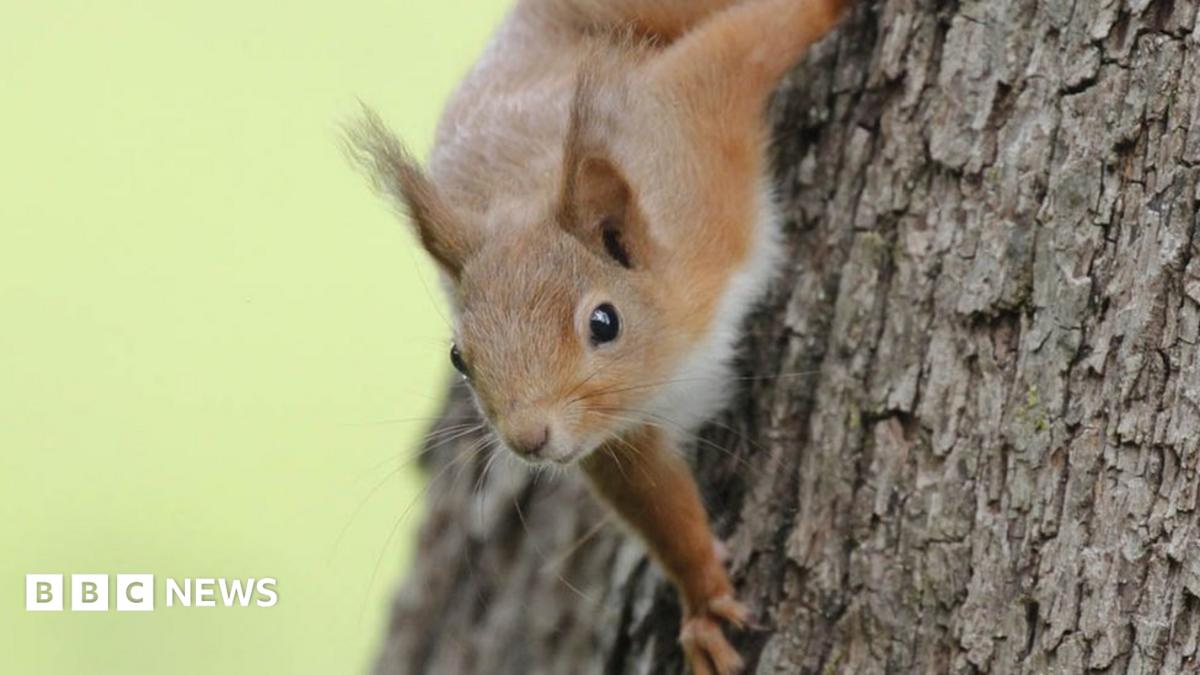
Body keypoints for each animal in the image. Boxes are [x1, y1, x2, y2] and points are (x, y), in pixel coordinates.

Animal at [350, 0, 850, 672]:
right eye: (459, 357)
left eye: (603, 322)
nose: (529, 439)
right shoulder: (619, 434)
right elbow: (657, 504)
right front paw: (703, 601)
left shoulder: (692, 131)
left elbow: (751, 41)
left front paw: (831, 9)